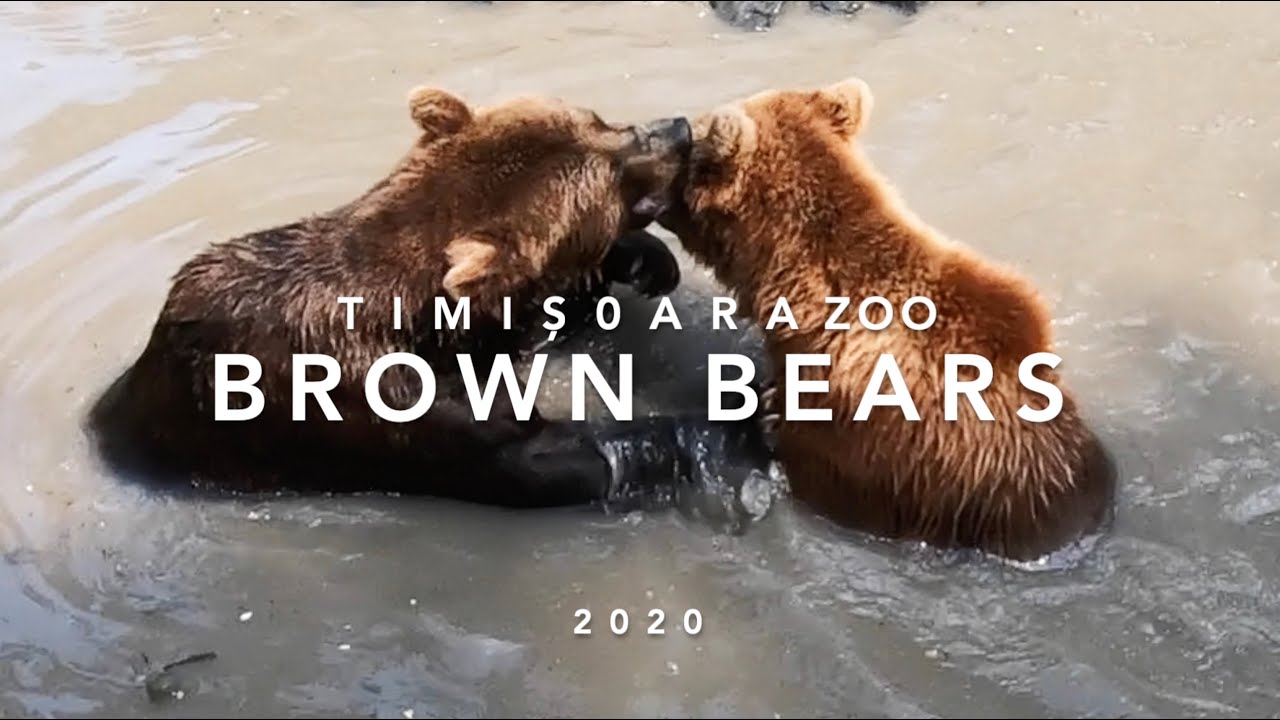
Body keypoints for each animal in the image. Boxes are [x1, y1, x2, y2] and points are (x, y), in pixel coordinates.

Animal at [85, 83, 766, 513]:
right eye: (614, 176)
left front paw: (641, 260)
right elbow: (555, 458)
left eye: (598, 120)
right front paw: (732, 418)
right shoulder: (374, 396)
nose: (677, 129)